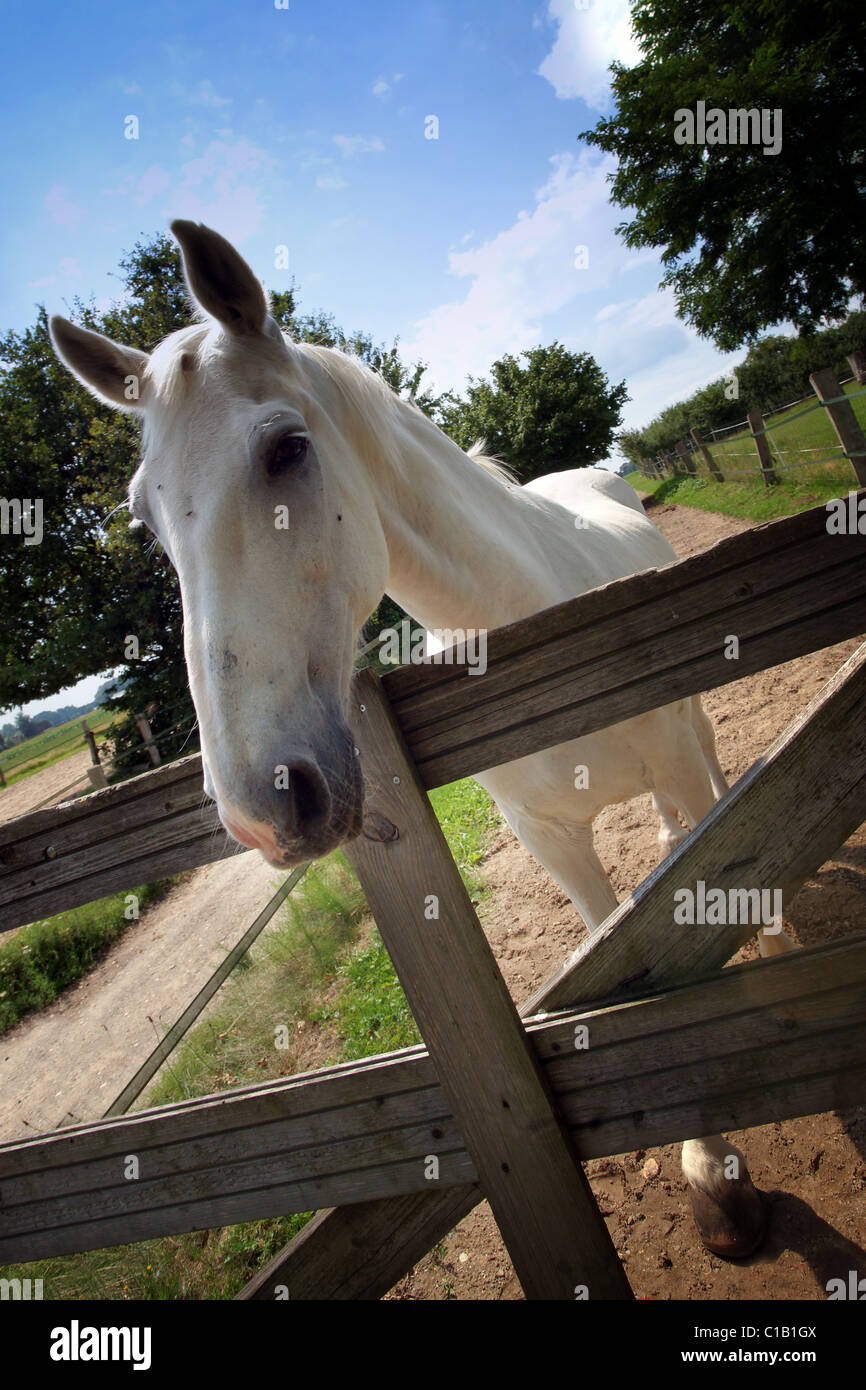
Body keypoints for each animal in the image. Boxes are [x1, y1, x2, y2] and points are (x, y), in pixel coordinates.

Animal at [49, 219, 795, 1265]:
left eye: (286, 449)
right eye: (142, 513)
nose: (263, 805)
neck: (528, 619)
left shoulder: (680, 766)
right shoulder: (549, 841)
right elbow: (614, 954)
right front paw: (711, 1171)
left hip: (691, 736)